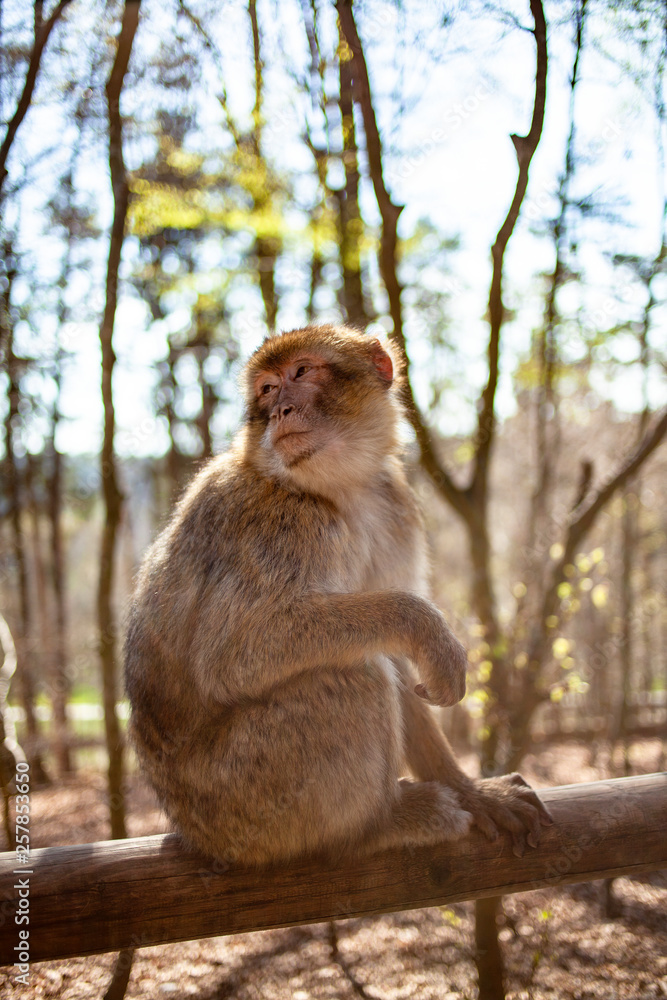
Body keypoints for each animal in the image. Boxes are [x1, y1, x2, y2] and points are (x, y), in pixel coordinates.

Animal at [124, 324, 552, 867]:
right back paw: (374, 827)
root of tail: (197, 835)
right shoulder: (281, 522)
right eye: (267, 389)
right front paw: (424, 628)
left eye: (302, 372)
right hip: (243, 801)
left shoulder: (393, 505)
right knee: (356, 675)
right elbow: (232, 655)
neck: (338, 489)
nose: (281, 410)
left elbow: (397, 660)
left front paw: (472, 790)